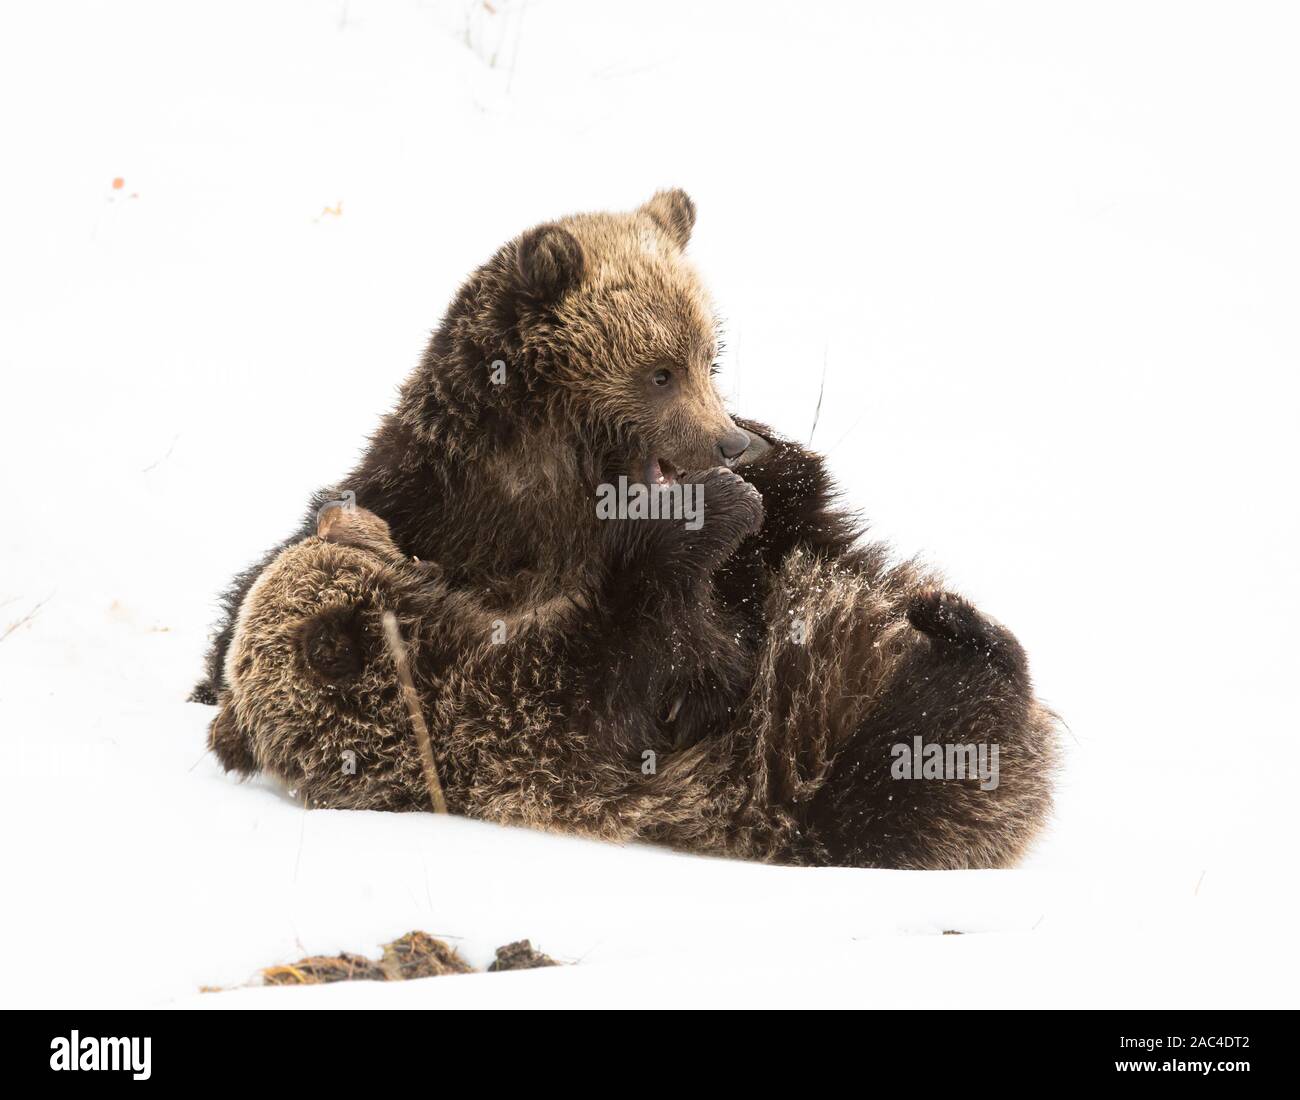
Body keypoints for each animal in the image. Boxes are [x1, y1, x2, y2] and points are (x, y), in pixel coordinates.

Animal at [198, 190, 1060, 868]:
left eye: (711, 356)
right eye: (659, 371)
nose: (727, 443)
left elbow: (791, 534)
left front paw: (762, 464)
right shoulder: (465, 551)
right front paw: (708, 511)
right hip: (858, 767)